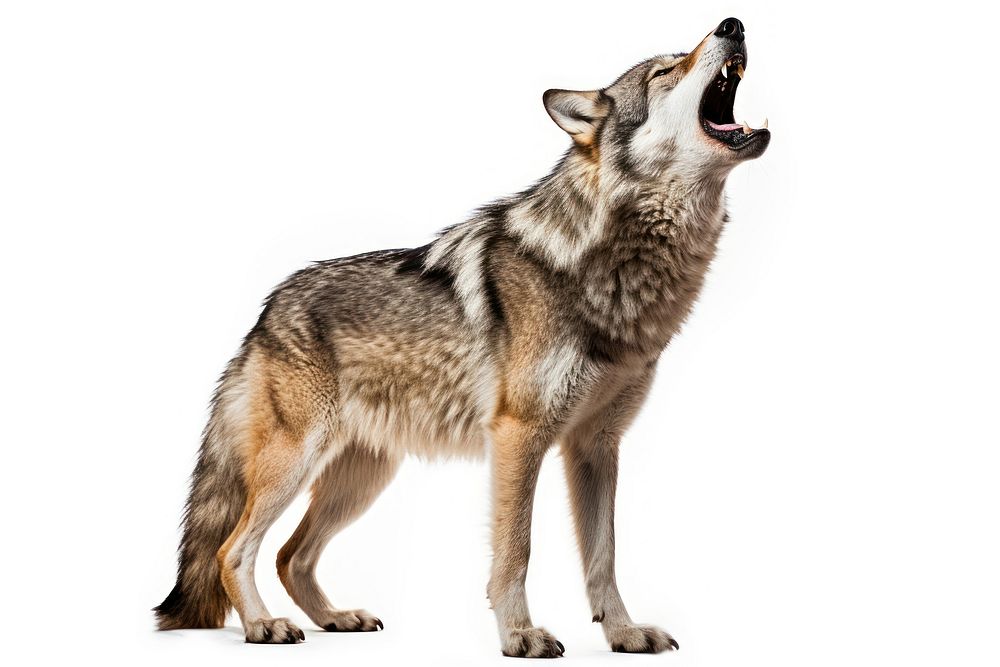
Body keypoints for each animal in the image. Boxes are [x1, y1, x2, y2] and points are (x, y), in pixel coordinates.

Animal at [154, 17, 768, 657]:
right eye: (664, 71)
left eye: (678, 59)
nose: (732, 24)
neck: (612, 263)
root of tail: (265, 311)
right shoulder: (519, 435)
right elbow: (517, 549)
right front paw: (520, 635)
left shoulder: (596, 445)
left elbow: (604, 557)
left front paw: (623, 633)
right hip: (298, 463)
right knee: (234, 550)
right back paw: (262, 626)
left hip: (363, 479)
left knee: (289, 556)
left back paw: (336, 619)